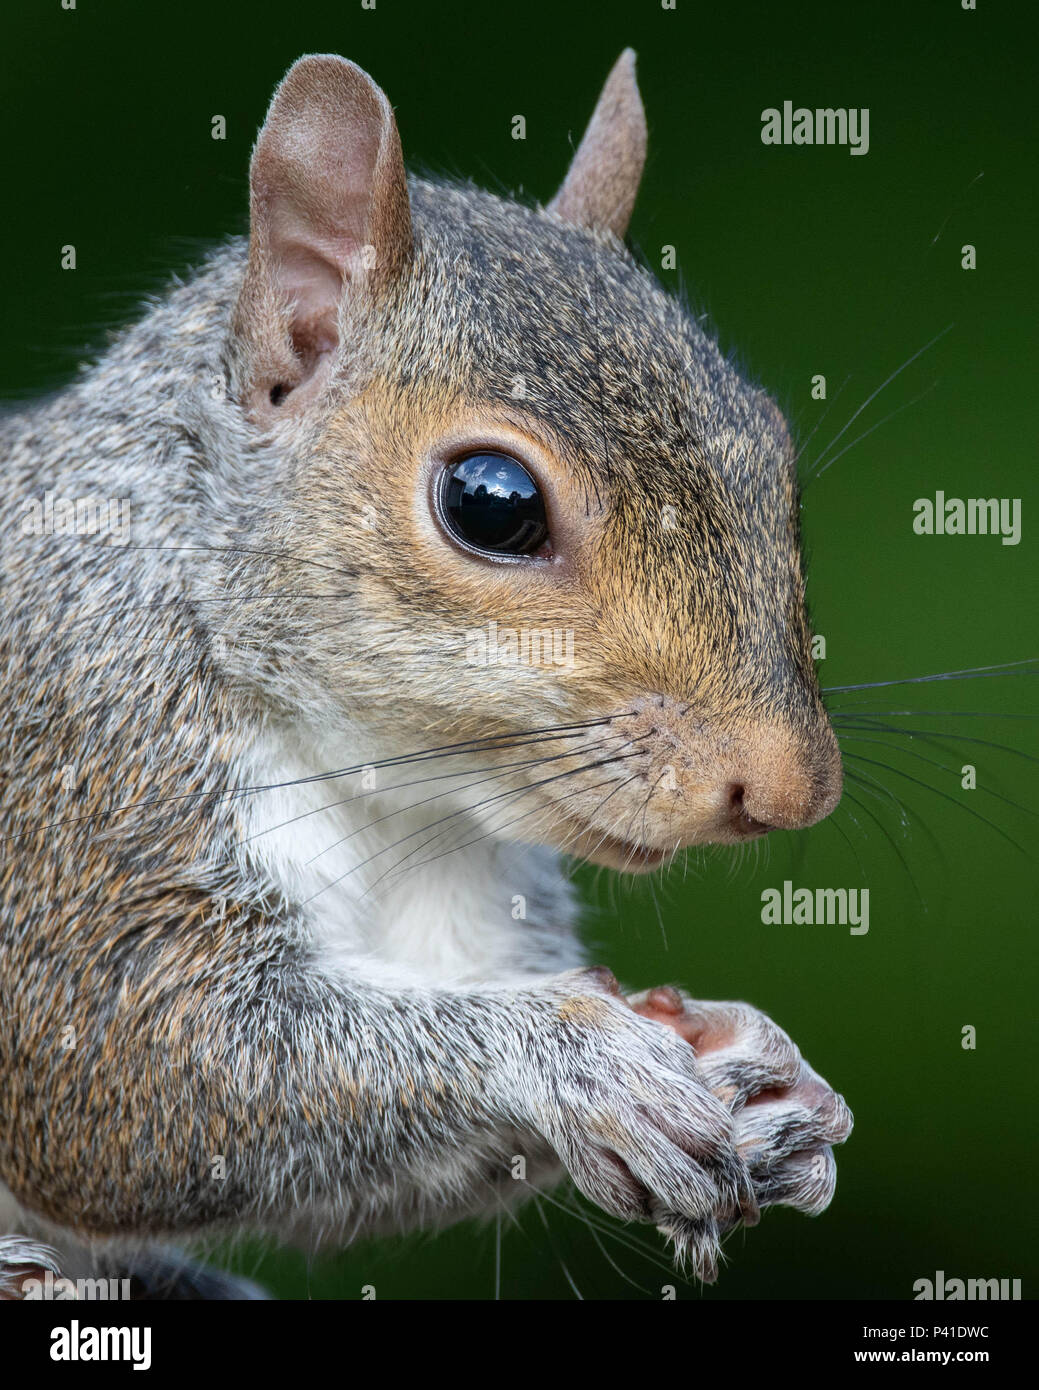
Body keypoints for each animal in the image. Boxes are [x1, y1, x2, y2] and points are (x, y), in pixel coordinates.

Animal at [0, 48, 852, 1299]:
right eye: (491, 503)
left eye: (772, 451)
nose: (791, 791)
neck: (392, 792)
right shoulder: (82, 780)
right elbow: (137, 1072)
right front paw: (575, 1058)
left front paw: (757, 1071)